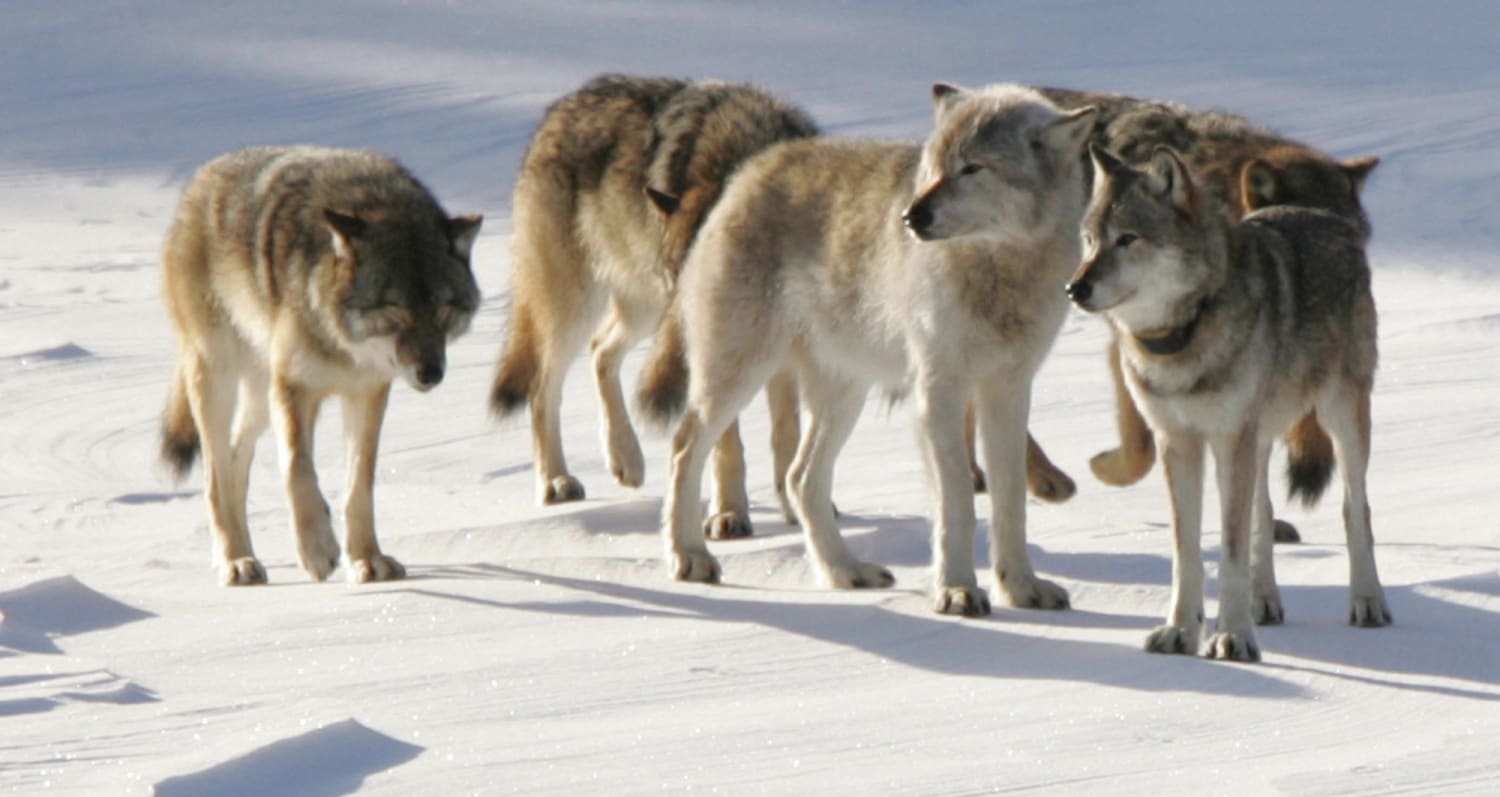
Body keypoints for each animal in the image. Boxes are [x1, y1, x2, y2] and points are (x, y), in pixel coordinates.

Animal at [159, 146, 482, 585]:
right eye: (394, 310)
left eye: (443, 311)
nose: (431, 373)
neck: (343, 344)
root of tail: (202, 178)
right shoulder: (294, 387)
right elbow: (297, 468)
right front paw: (317, 550)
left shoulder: (367, 393)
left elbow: (359, 485)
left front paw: (366, 559)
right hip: (218, 378)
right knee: (214, 476)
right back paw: (235, 561)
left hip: (259, 397)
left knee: (236, 457)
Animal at [489, 75, 819, 532]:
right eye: (681, 278)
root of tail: (557, 111)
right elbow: (727, 442)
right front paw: (729, 513)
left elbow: (786, 429)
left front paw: (797, 508)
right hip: (579, 307)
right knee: (543, 385)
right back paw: (557, 480)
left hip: (642, 309)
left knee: (600, 350)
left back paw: (625, 458)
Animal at [657, 83, 1096, 615]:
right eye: (934, 167)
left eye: (973, 167)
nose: (912, 216)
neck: (998, 269)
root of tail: (751, 168)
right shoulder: (939, 394)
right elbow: (958, 505)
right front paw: (956, 591)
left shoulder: (1009, 391)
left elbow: (1010, 504)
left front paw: (1022, 589)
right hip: (739, 376)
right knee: (684, 449)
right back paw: (689, 557)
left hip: (844, 396)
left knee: (800, 478)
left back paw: (845, 572)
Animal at [1038, 88, 1379, 541]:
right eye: (1092, 239)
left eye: (1358, 238)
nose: (1075, 289)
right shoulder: (1131, 356)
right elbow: (1142, 455)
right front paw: (1107, 469)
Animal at [1066, 144, 1390, 661]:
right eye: (1090, 240)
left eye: (1128, 239)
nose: (1074, 289)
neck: (1183, 334)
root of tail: (1322, 214)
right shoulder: (1178, 442)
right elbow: (1187, 552)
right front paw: (1181, 631)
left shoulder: (1228, 438)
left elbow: (1231, 551)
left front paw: (1233, 637)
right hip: (1257, 440)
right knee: (1264, 513)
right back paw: (1265, 603)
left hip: (1340, 418)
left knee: (1354, 510)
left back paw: (1367, 602)